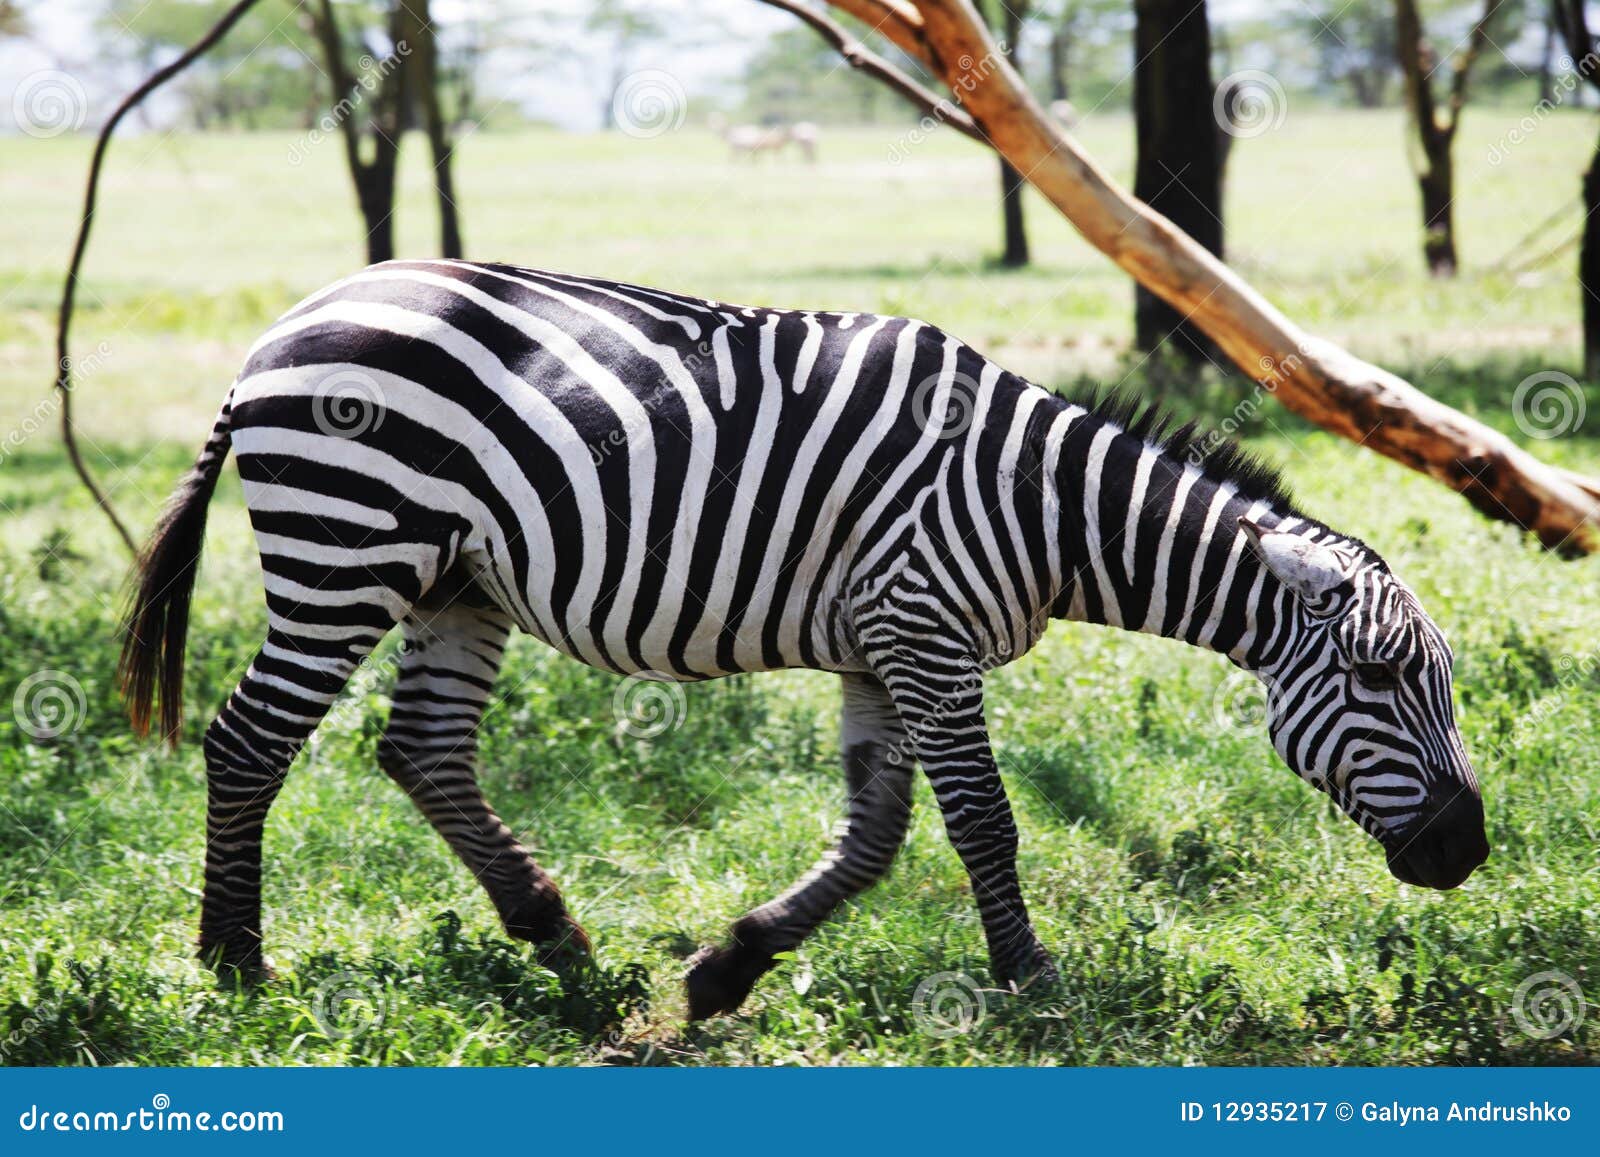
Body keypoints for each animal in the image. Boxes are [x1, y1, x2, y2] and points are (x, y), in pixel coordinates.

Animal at [119, 260, 1490, 1020]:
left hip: (455, 580)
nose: (1466, 851)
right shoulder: (924, 627)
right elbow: (982, 818)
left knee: (422, 751)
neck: (1035, 506)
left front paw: (729, 966)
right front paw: (1031, 980)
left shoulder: (877, 642)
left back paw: (557, 938)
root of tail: (285, 325)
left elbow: (876, 835)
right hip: (347, 545)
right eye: (1380, 675)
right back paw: (236, 962)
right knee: (251, 738)